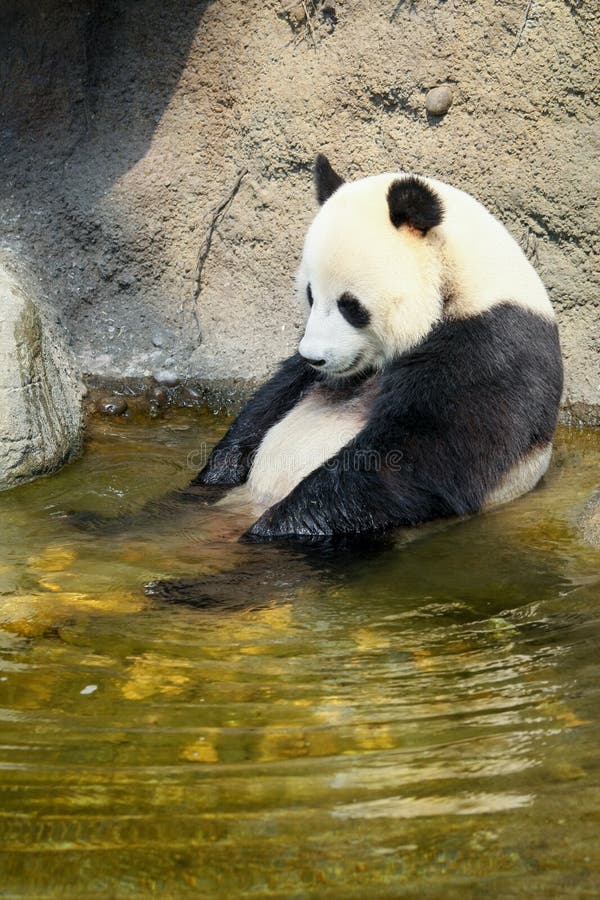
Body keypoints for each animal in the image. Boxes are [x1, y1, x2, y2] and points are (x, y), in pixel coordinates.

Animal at [193, 155, 564, 541]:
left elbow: (415, 456)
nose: (315, 357)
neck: (463, 281)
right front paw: (220, 468)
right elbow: (274, 396)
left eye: (350, 305)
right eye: (310, 295)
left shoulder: (491, 347)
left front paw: (276, 526)